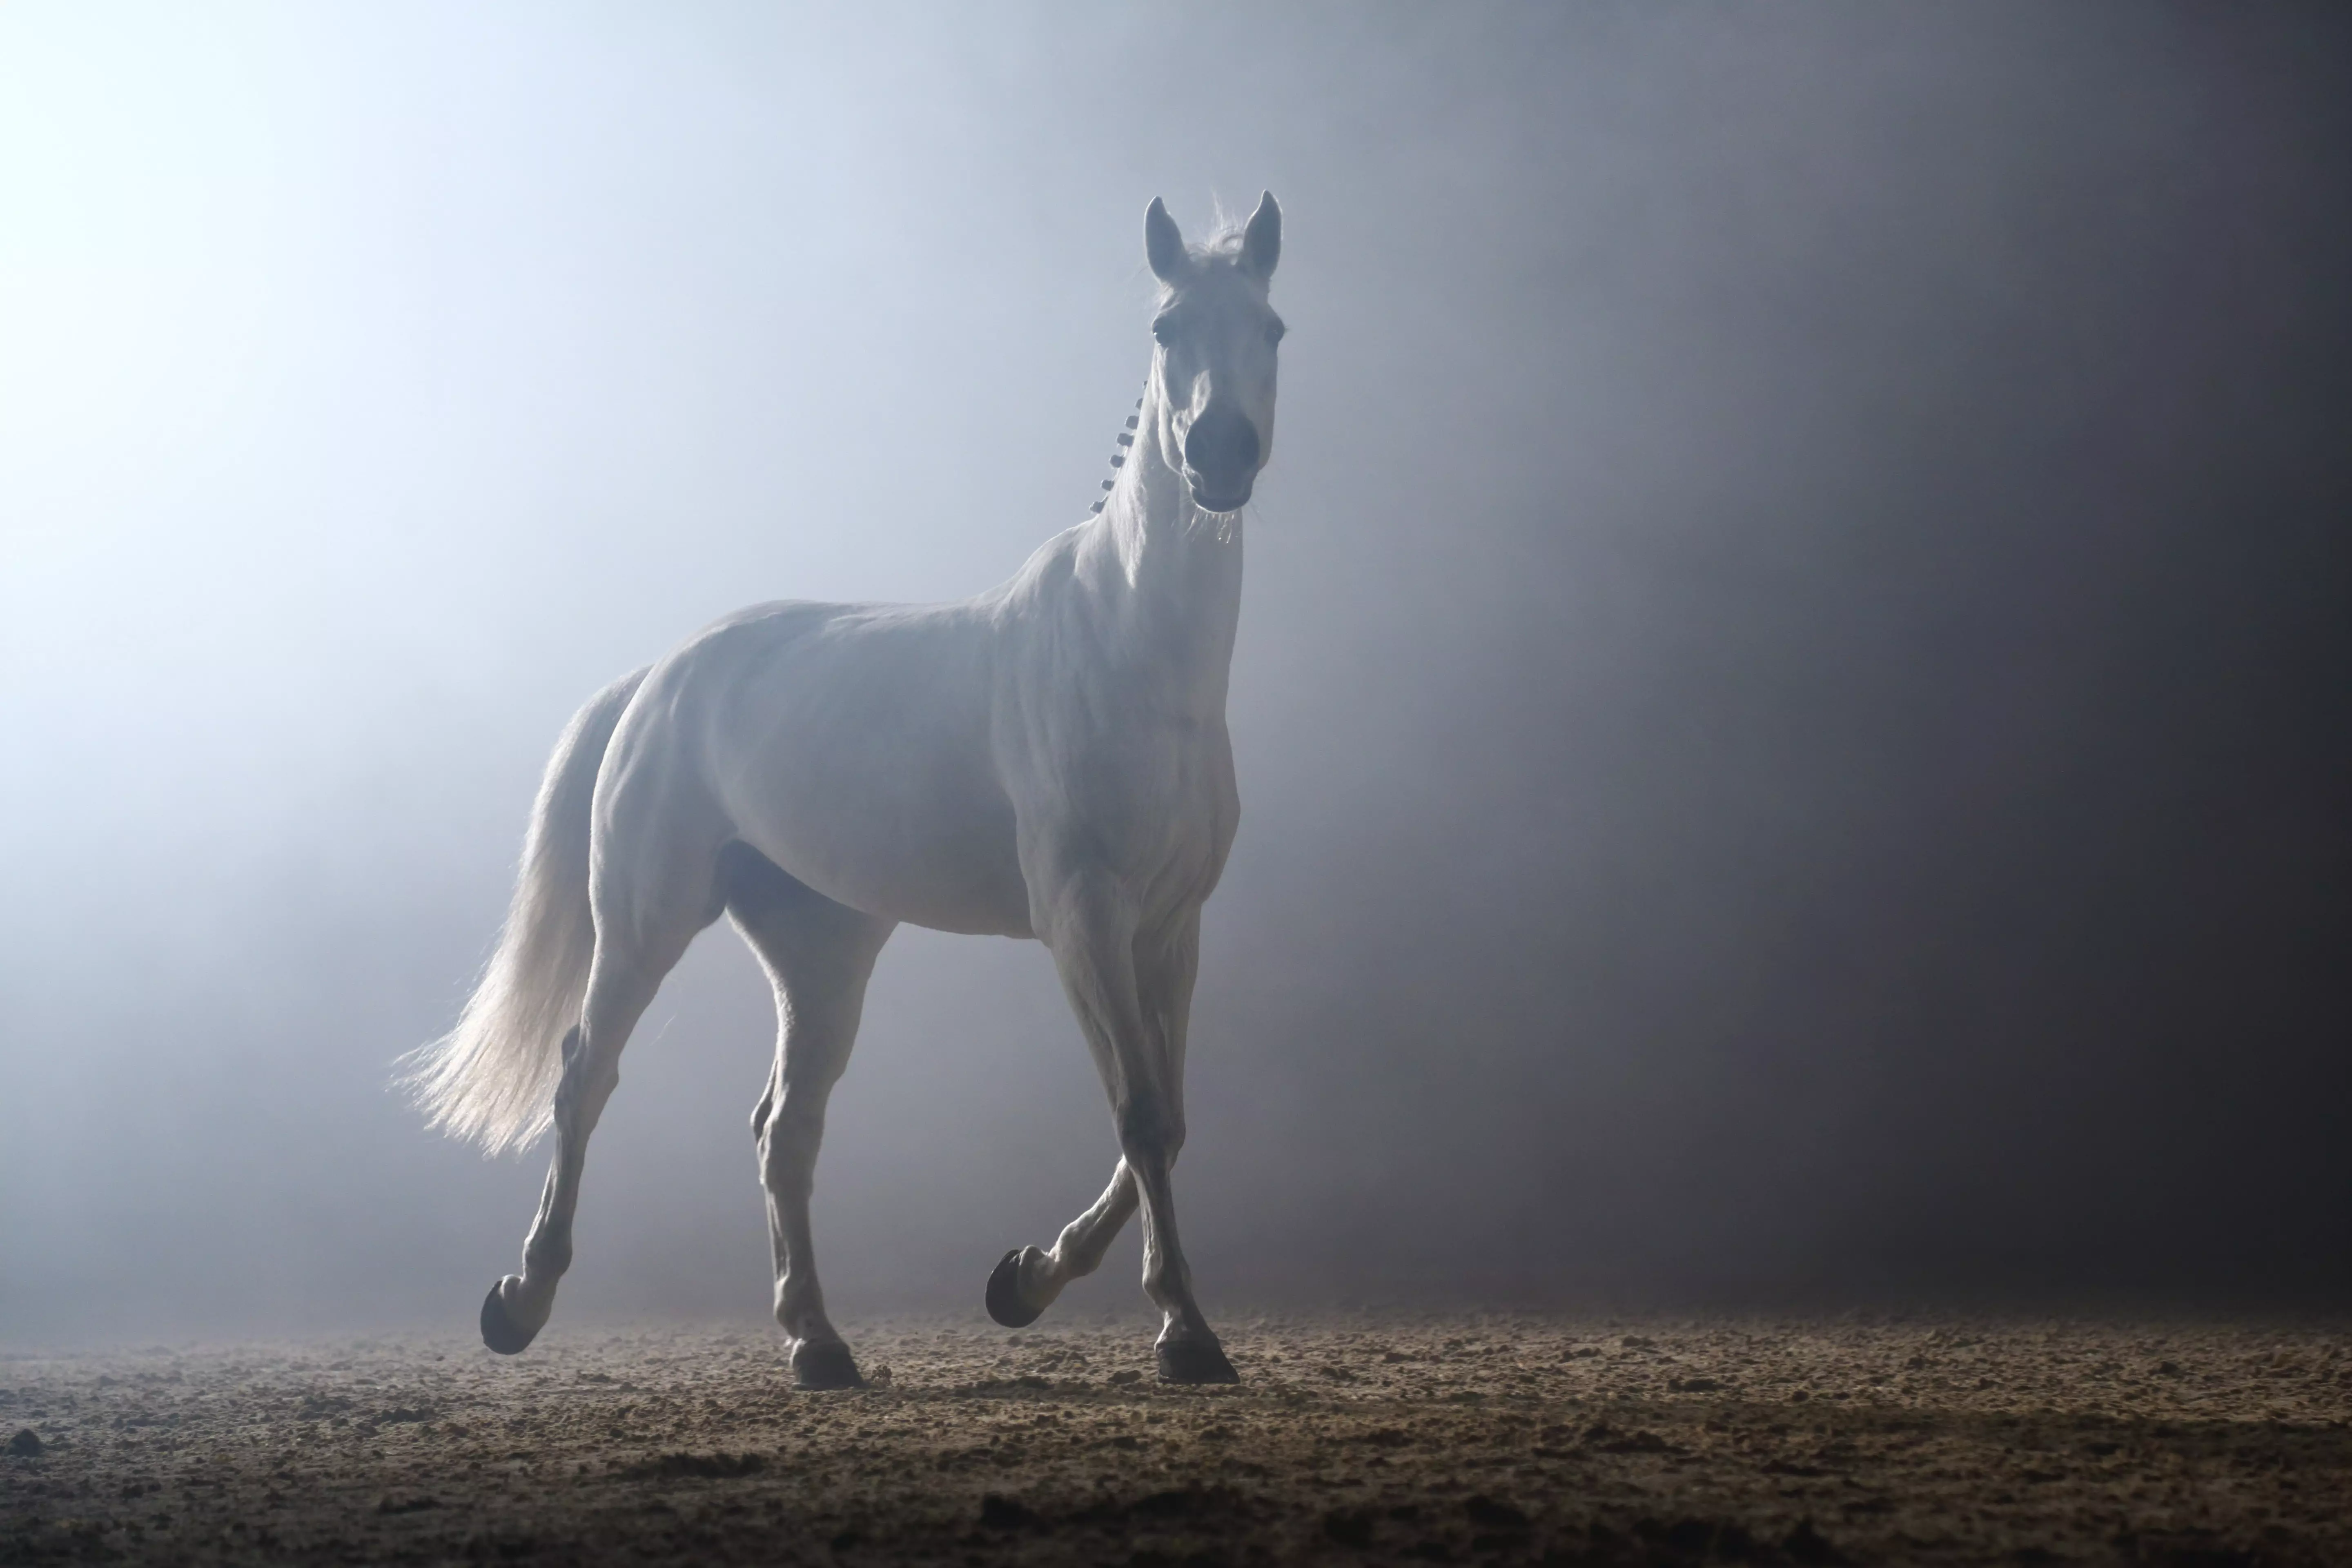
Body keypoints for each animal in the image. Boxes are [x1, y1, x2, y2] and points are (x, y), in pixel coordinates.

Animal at [407, 193, 1289, 1382]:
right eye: (1165, 329)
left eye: (1271, 329)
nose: (1219, 454)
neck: (1128, 652)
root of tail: (661, 673)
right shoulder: (1081, 918)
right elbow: (1142, 1114)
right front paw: (1183, 1333)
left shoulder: (1168, 926)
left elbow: (1171, 1119)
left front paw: (1024, 1282)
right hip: (644, 922)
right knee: (585, 1075)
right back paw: (520, 1301)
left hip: (821, 955)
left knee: (784, 1131)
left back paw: (816, 1341)